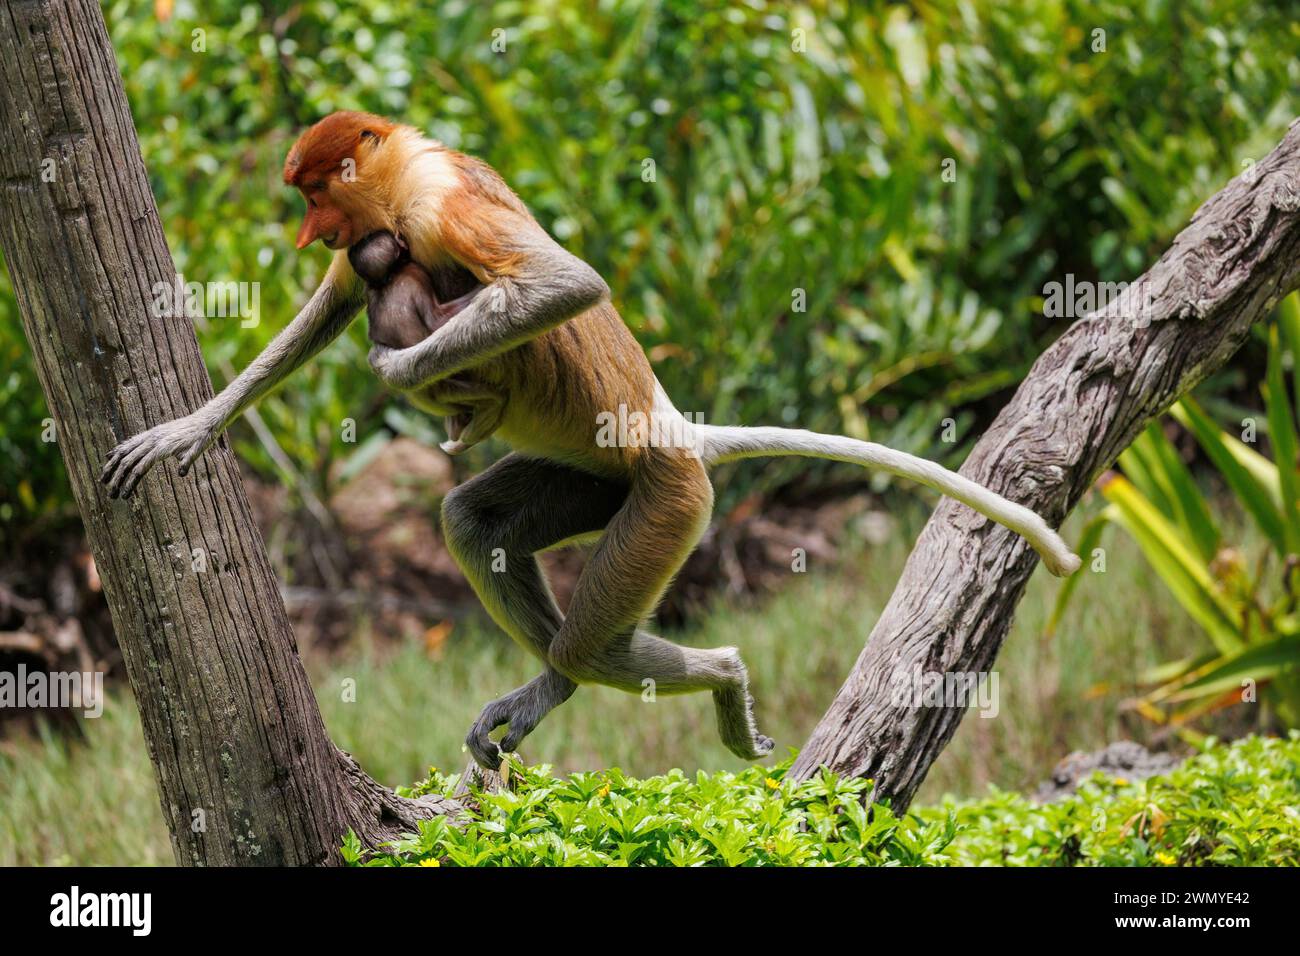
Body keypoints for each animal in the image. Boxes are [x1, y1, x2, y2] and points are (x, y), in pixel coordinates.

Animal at [347, 229, 504, 454]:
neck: (389, 276)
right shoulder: (416, 273)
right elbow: (436, 319)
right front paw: (483, 287)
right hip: (445, 390)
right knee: (492, 397)